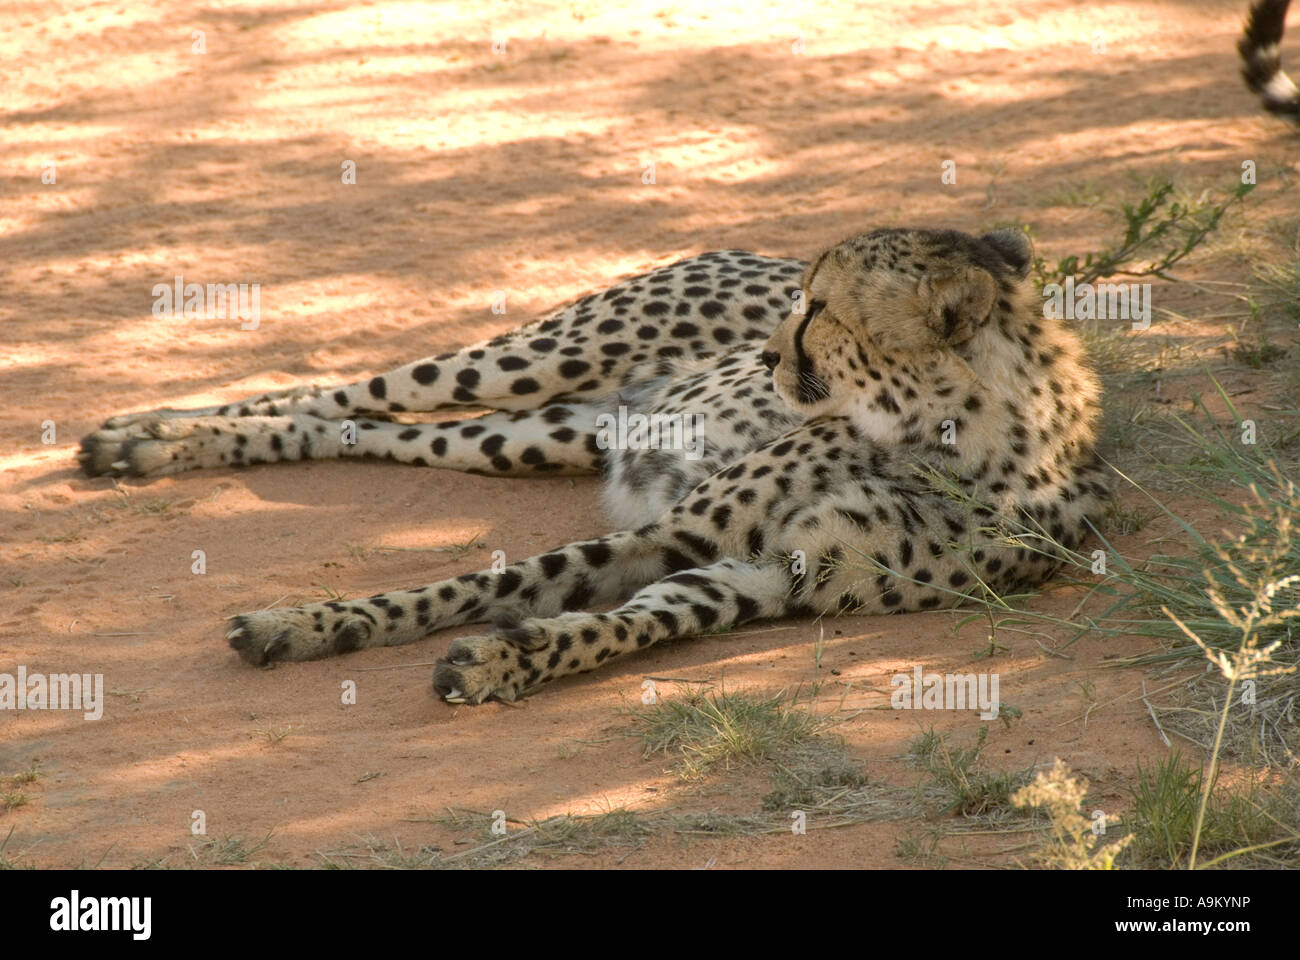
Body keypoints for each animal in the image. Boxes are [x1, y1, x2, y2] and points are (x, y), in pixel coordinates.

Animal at [79, 226, 1110, 706]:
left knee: (367, 429)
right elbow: (464, 585)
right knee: (346, 390)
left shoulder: (768, 573)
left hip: (538, 433)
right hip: (539, 356)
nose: (769, 355)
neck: (942, 438)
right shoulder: (679, 529)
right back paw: (143, 430)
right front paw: (310, 623)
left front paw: (506, 661)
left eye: (823, 309)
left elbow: (627, 623)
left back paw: (154, 440)